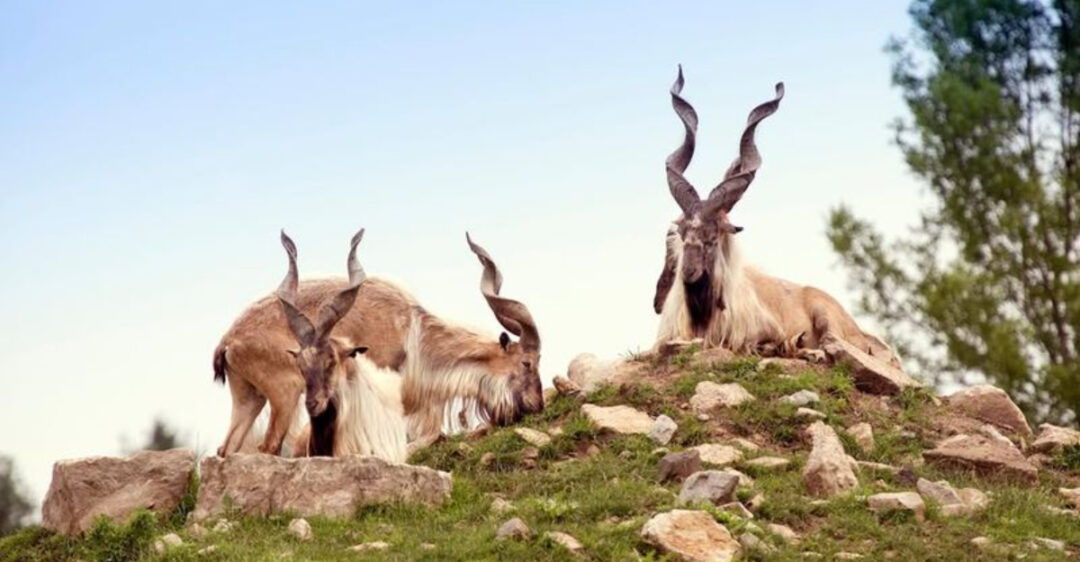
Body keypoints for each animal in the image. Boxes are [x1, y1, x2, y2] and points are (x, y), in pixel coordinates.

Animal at [212, 232, 543, 456]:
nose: (536, 405)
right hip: (286, 391)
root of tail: (228, 341)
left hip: (248, 397)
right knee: (268, 445)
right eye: (527, 362)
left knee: (227, 449)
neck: (411, 333)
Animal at [653, 66, 899, 366]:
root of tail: (859, 330)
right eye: (683, 233)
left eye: (712, 238)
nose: (688, 273)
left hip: (825, 314)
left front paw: (791, 347)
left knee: (832, 343)